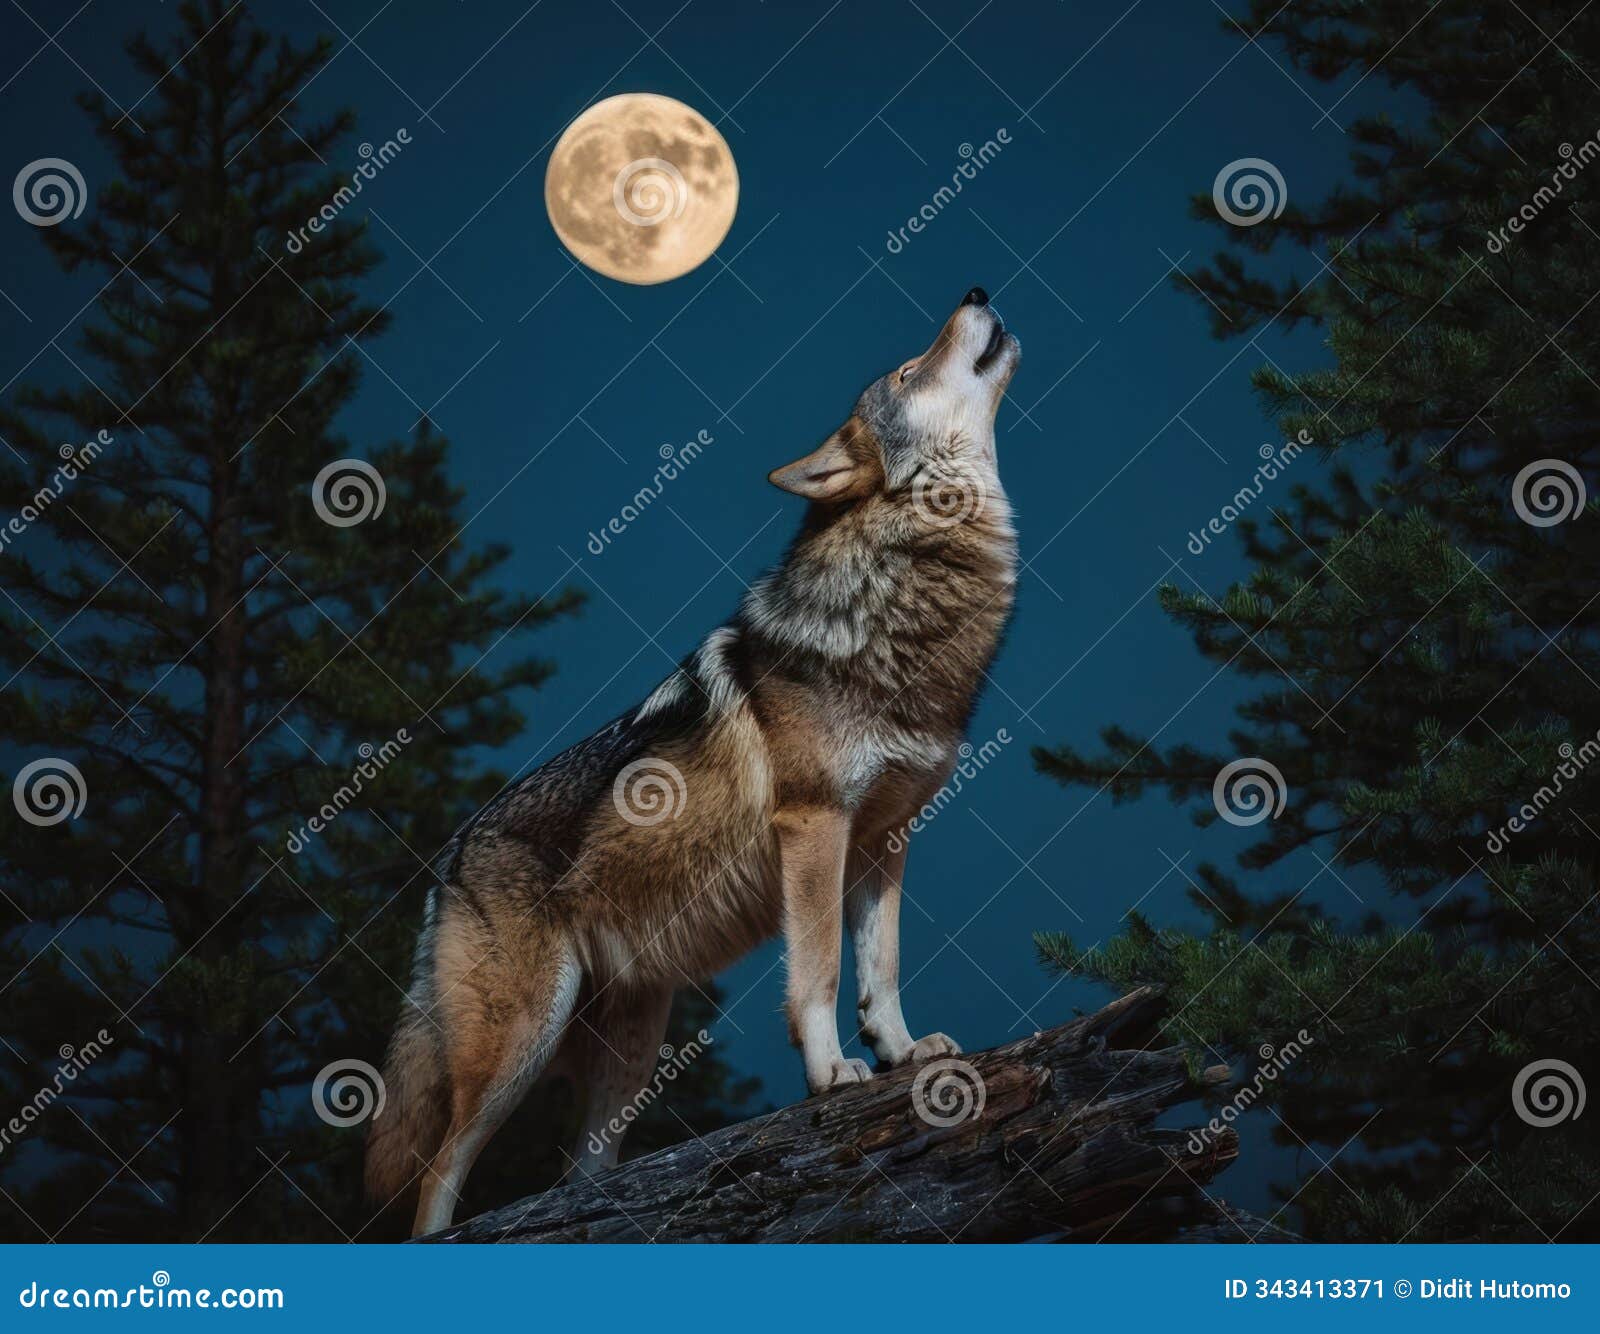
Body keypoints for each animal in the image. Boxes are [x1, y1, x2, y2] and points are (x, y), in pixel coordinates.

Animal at [366, 288, 1021, 1235]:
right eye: (906, 371)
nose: (975, 293)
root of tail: (448, 858)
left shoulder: (884, 838)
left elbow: (883, 968)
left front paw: (903, 1053)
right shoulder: (815, 826)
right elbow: (820, 972)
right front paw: (831, 1074)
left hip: (630, 1049)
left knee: (580, 1174)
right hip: (519, 1042)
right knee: (438, 1173)